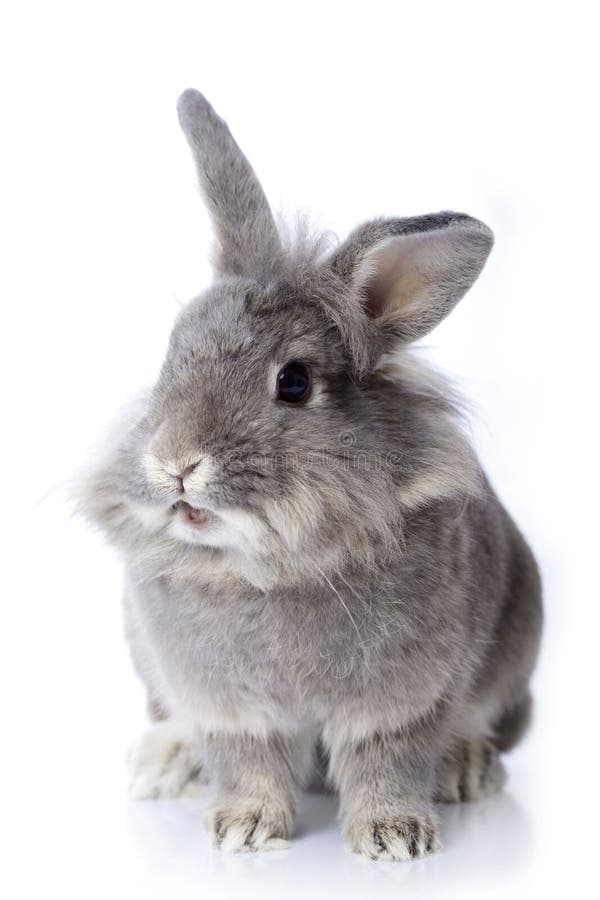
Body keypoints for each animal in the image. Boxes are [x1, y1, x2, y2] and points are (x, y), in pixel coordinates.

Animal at [76, 89, 543, 861]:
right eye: (169, 361)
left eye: (293, 383)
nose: (175, 465)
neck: (274, 565)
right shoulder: (228, 709)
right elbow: (248, 762)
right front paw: (242, 830)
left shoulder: (400, 701)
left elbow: (388, 759)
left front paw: (393, 839)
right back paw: (162, 764)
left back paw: (467, 768)